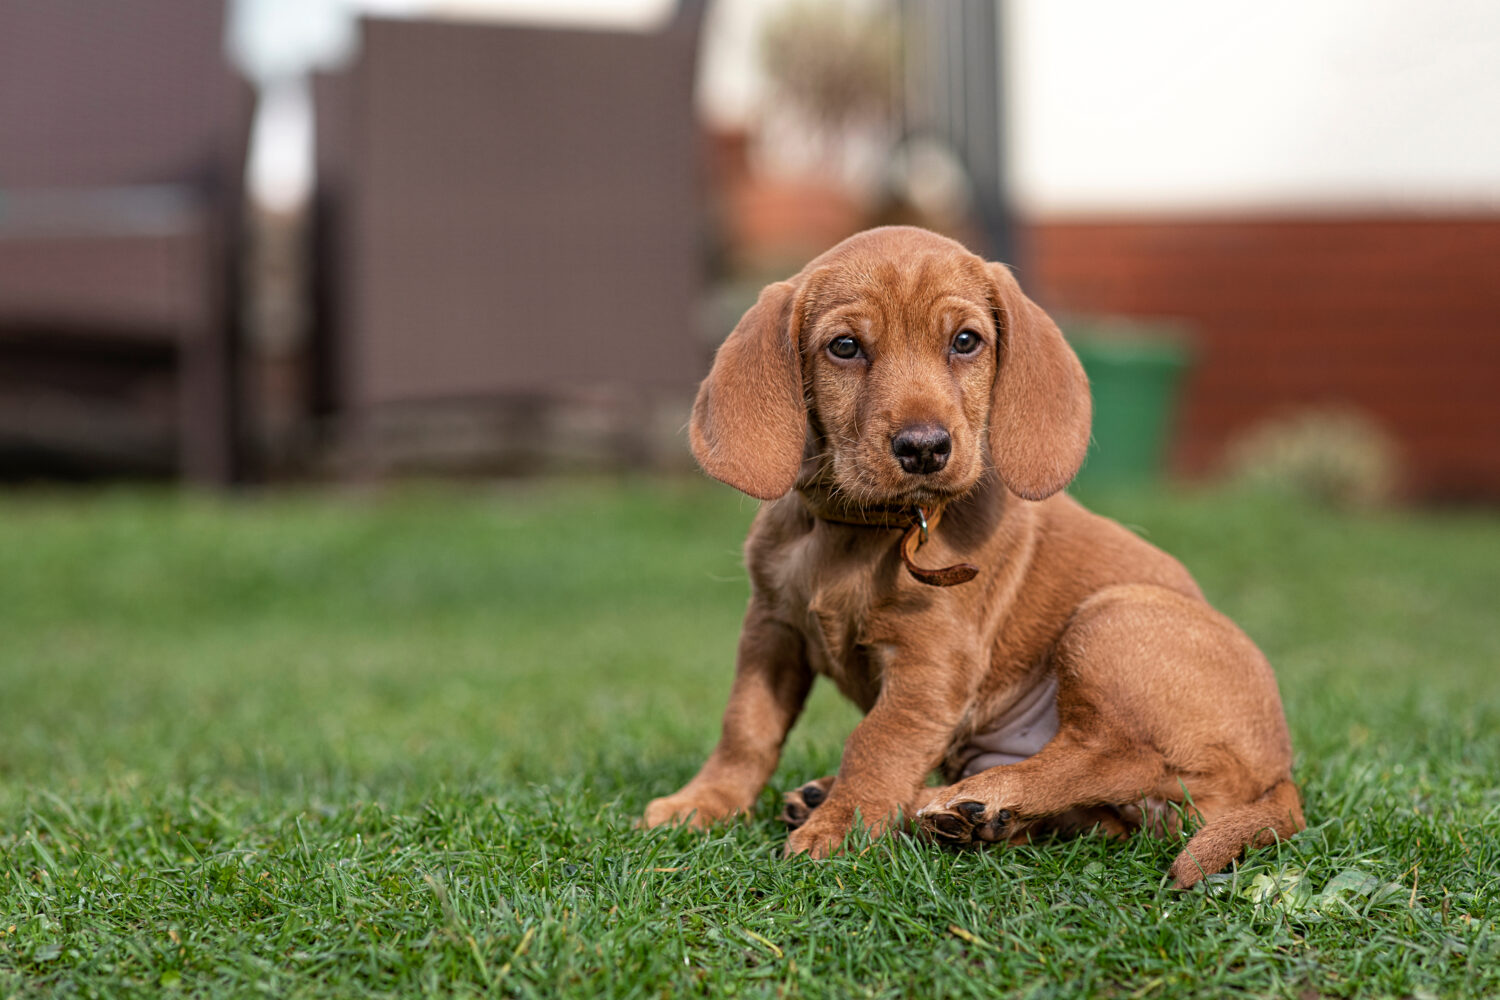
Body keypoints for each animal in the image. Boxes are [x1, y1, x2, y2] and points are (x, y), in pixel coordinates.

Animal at [645, 224, 1302, 881]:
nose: (925, 448)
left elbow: (875, 745)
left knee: (1114, 758)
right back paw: (957, 817)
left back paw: (969, 800)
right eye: (845, 347)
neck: (862, 530)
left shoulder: (930, 665)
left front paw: (839, 827)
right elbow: (746, 727)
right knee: (1104, 815)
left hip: (1111, 616)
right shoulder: (771, 630)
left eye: (965, 341)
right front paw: (705, 802)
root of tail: (1282, 771)